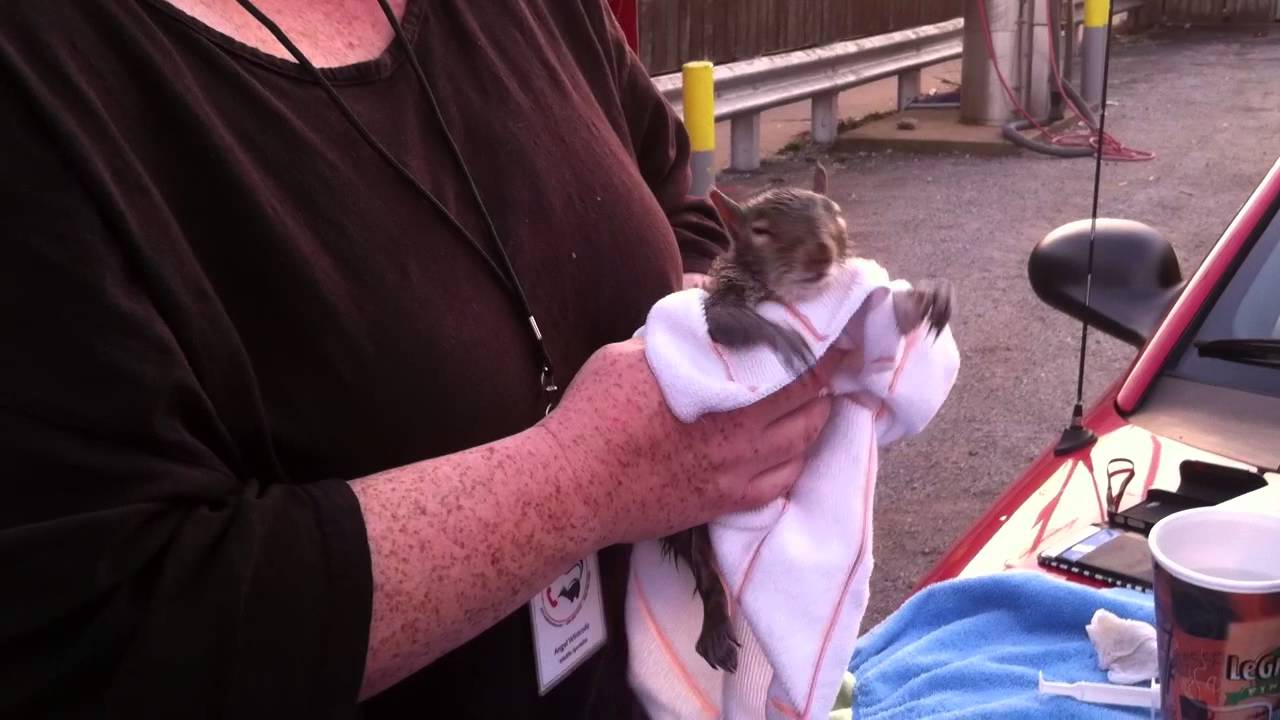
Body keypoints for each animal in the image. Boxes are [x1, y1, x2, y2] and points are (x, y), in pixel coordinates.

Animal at [661, 161, 954, 674]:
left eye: (834, 212)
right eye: (760, 231)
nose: (821, 252)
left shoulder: (858, 335)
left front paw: (921, 299)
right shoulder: (720, 302)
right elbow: (728, 324)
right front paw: (781, 336)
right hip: (698, 528)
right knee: (706, 575)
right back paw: (715, 628)